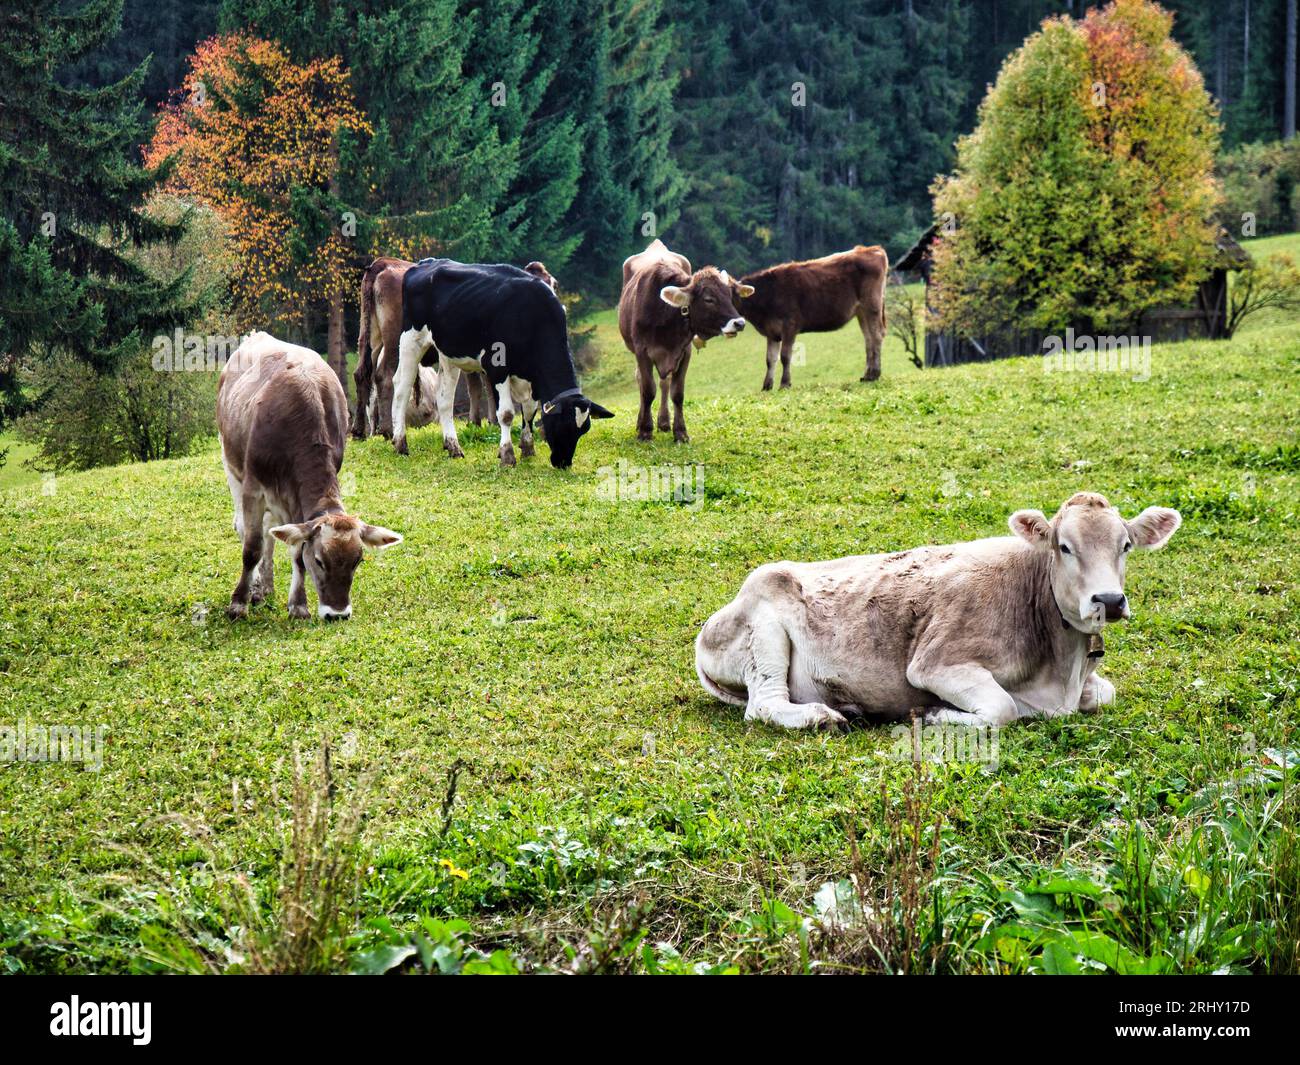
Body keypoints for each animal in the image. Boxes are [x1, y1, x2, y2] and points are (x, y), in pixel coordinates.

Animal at [218, 332, 403, 621]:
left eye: (358, 561)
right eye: (319, 560)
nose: (337, 614)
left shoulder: (294, 499)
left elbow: (294, 550)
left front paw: (298, 605)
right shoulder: (254, 488)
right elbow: (252, 547)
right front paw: (238, 603)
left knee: (270, 534)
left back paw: (265, 588)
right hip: (230, 463)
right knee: (245, 529)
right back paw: (255, 588)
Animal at [392, 259, 611, 468]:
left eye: (582, 431)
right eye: (563, 424)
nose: (563, 463)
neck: (534, 316)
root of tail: (425, 263)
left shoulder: (533, 377)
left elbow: (529, 410)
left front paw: (528, 448)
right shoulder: (496, 367)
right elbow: (506, 414)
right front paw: (507, 455)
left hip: (447, 354)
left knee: (444, 399)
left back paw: (453, 447)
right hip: (411, 340)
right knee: (402, 388)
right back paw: (400, 443)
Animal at [618, 239, 751, 443]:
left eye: (729, 296)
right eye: (709, 299)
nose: (739, 323)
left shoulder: (684, 351)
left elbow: (677, 393)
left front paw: (680, 432)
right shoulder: (642, 351)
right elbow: (647, 390)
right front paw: (645, 431)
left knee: (665, 382)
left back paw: (664, 422)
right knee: (641, 380)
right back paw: (641, 422)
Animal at [695, 492, 1181, 731]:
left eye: (1126, 545)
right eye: (1064, 546)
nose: (1109, 601)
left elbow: (1105, 693)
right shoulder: (935, 663)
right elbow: (1001, 709)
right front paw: (935, 715)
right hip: (765, 629)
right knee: (763, 704)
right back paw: (822, 717)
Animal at [735, 245, 888, 390]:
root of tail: (871, 249)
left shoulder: (790, 325)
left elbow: (785, 356)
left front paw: (785, 384)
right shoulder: (771, 331)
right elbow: (770, 359)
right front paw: (767, 386)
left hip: (872, 306)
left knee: (876, 335)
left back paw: (875, 374)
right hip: (861, 312)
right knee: (868, 339)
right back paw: (867, 375)